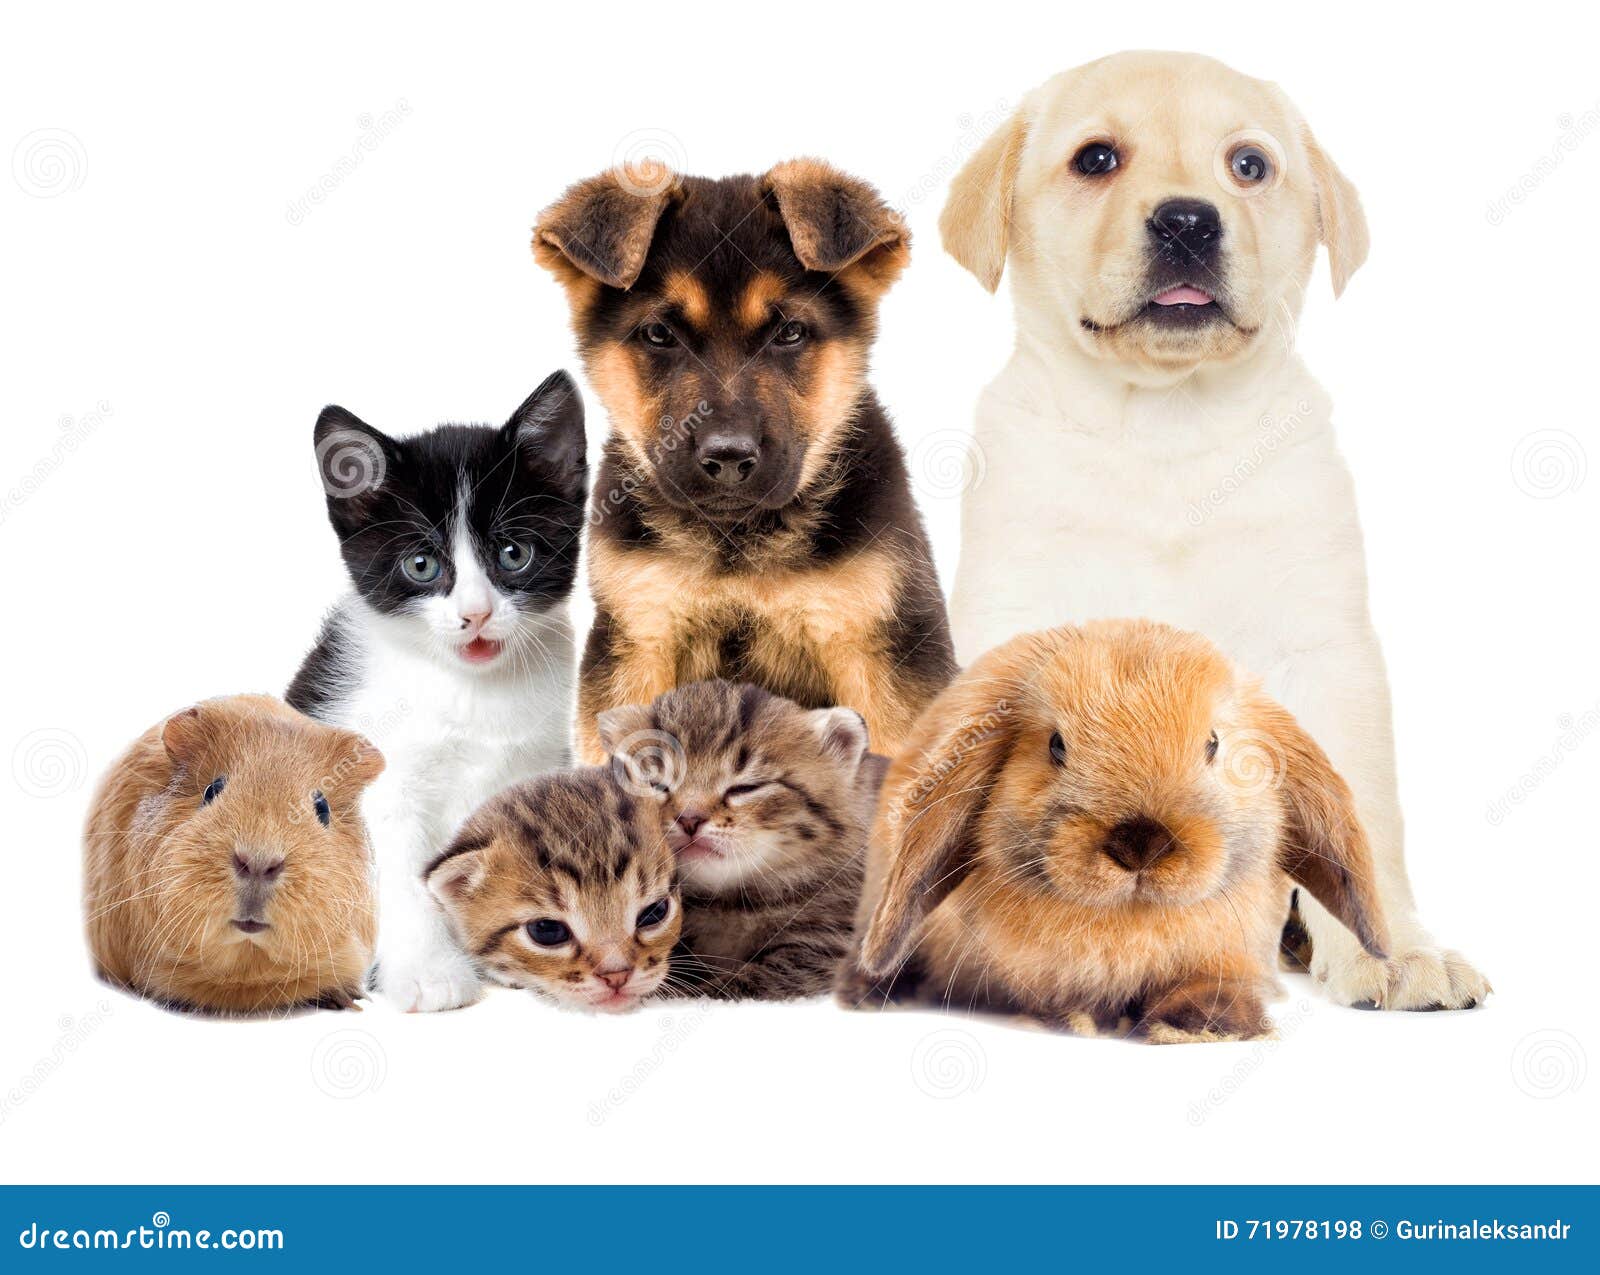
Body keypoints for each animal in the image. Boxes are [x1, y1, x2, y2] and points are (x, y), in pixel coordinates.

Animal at [837, 619, 1390, 1042]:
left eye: (1213, 743)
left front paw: (1205, 1023)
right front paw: (1073, 1019)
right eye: (1056, 745)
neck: (1128, 920)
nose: (1141, 842)